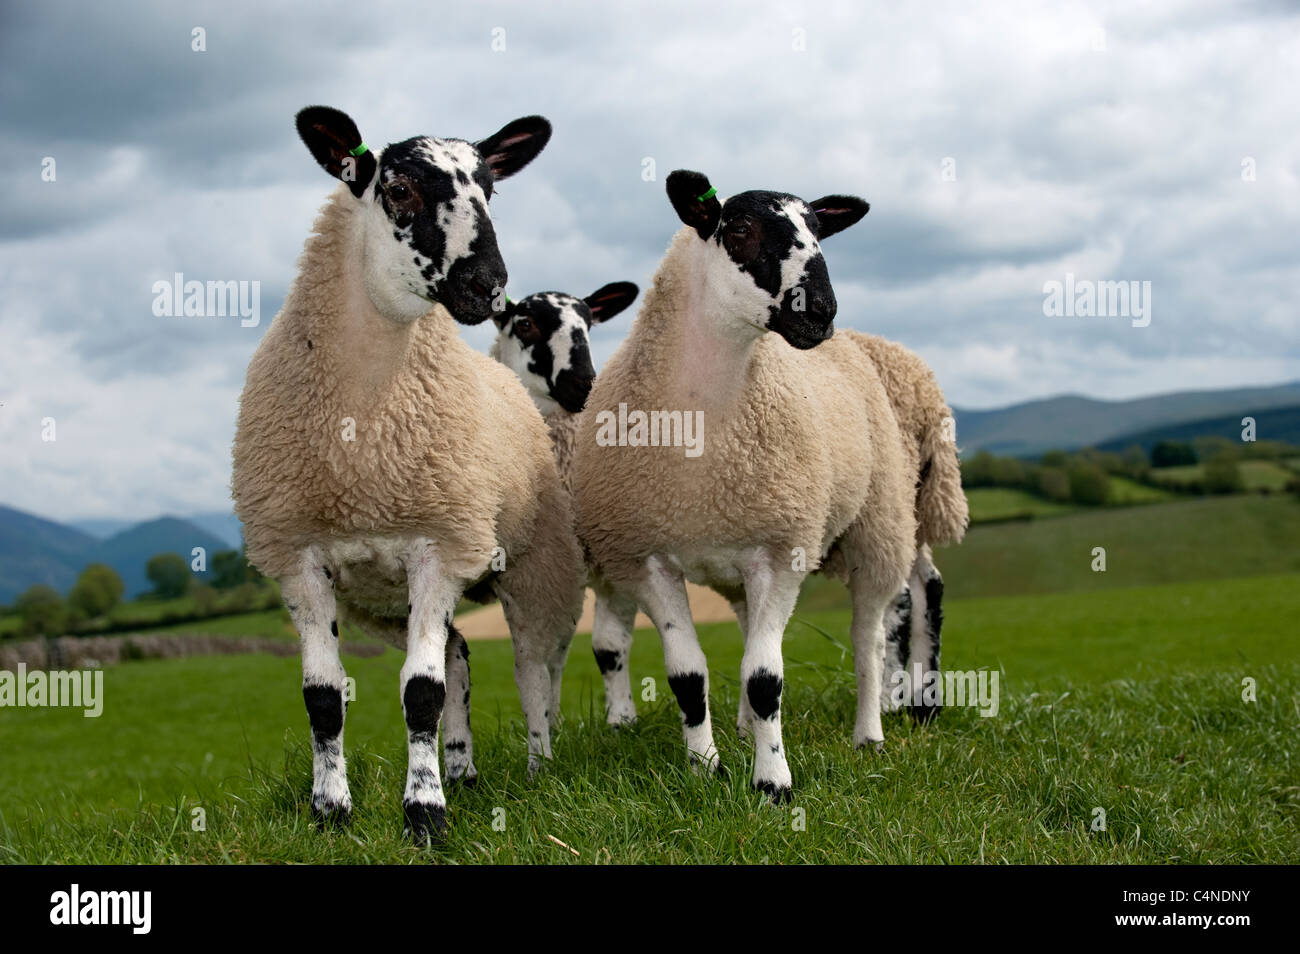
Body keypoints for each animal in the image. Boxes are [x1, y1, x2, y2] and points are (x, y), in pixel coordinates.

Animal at [231, 106, 584, 841]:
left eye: (491, 189)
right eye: (398, 190)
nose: (488, 286)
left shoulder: (441, 547)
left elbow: (420, 694)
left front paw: (423, 813)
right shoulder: (299, 557)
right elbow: (324, 698)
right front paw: (330, 811)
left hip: (536, 565)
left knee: (532, 666)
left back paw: (538, 765)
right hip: (385, 598)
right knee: (459, 655)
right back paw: (463, 769)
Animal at [571, 170, 919, 800]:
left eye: (820, 230)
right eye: (738, 230)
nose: (820, 311)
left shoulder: (781, 553)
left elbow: (764, 678)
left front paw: (773, 782)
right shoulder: (647, 559)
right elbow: (688, 676)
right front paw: (704, 767)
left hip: (877, 529)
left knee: (869, 640)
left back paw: (869, 734)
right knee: (748, 628)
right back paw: (739, 729)